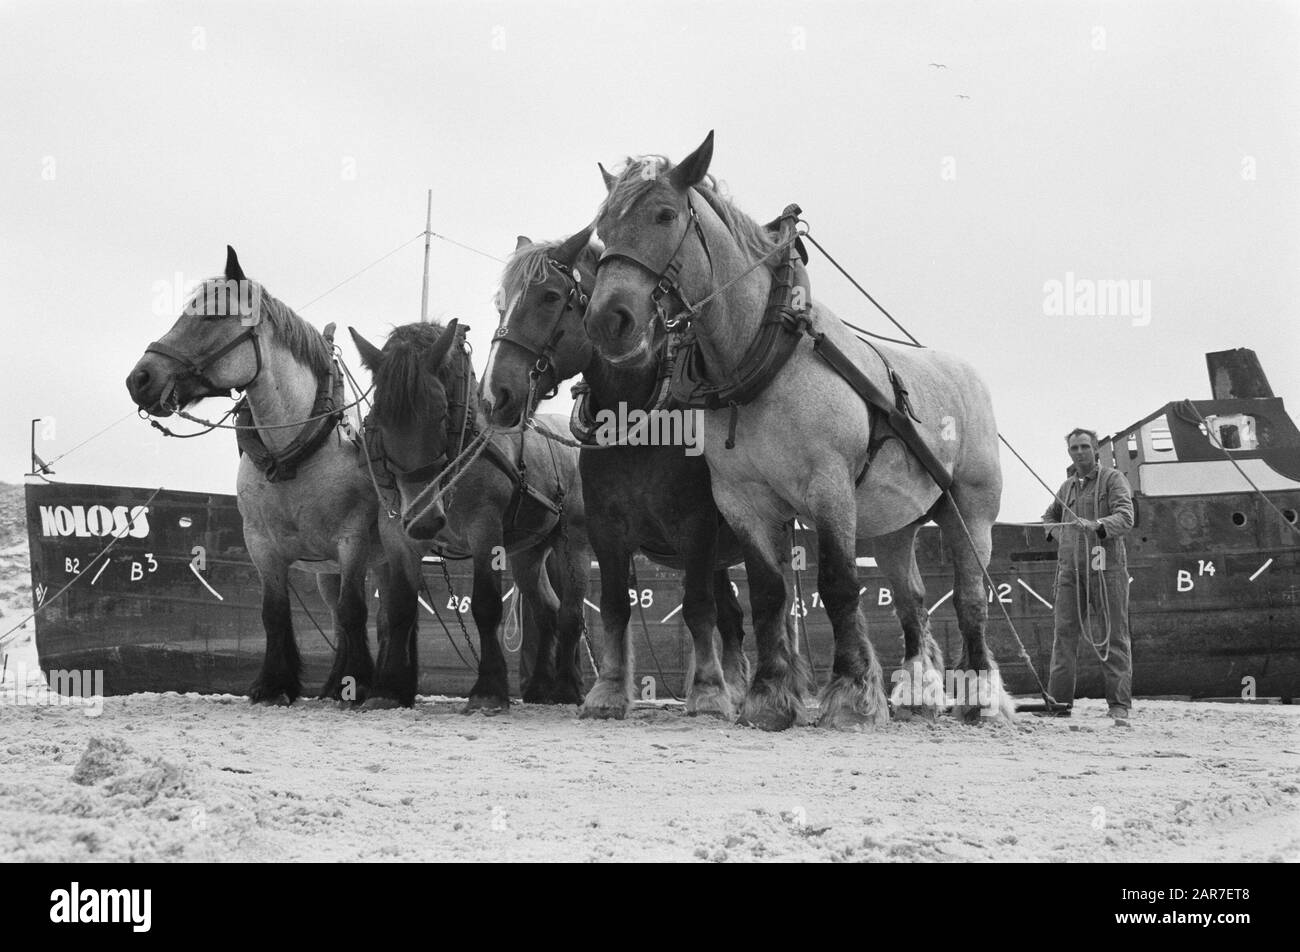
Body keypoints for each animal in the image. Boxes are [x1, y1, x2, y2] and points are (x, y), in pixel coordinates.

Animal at [126, 246, 425, 708]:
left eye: (209, 316)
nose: (140, 379)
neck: (293, 453)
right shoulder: (261, 545)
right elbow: (275, 613)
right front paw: (274, 683)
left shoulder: (352, 541)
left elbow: (354, 610)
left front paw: (352, 683)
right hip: (328, 571)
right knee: (344, 616)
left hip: (386, 557)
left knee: (386, 616)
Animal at [349, 319, 592, 710]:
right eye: (380, 418)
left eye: (440, 413)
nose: (424, 519)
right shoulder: (396, 533)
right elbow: (399, 609)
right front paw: (386, 689)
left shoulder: (484, 530)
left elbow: (486, 606)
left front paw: (489, 689)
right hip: (528, 553)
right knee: (547, 612)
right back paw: (540, 687)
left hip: (575, 543)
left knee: (571, 613)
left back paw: (567, 688)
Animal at [481, 231, 760, 719]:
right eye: (502, 303)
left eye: (549, 297)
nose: (496, 394)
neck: (640, 416)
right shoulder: (606, 531)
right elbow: (613, 608)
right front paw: (608, 691)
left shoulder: (697, 529)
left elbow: (696, 608)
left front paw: (708, 693)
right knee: (732, 616)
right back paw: (738, 686)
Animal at [584, 133, 1014, 731]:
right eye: (602, 227)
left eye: (665, 214)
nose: (609, 321)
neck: (766, 357)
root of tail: (967, 374)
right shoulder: (744, 499)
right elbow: (769, 594)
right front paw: (768, 696)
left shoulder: (829, 486)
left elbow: (837, 586)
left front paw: (852, 692)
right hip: (892, 528)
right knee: (912, 602)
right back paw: (920, 694)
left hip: (968, 512)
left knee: (970, 598)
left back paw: (980, 698)